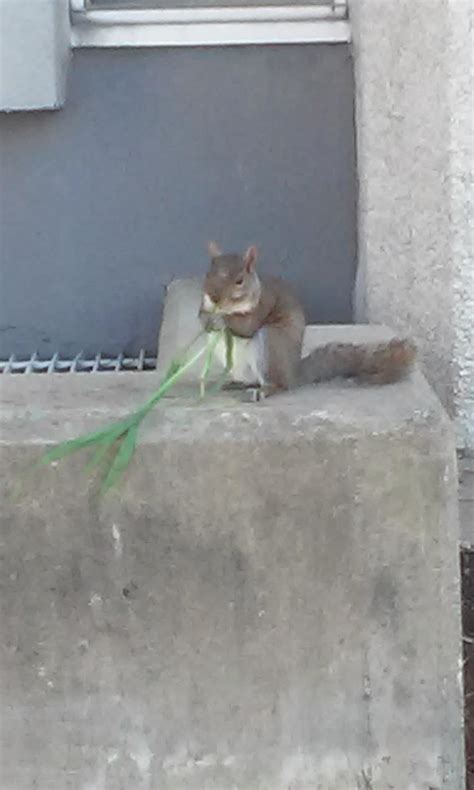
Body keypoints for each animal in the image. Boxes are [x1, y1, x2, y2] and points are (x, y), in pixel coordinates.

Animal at [199, 242, 416, 398]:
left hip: (271, 343)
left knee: (279, 384)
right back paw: (234, 383)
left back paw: (265, 390)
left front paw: (221, 320)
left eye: (239, 281)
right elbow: (202, 315)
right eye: (208, 273)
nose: (214, 297)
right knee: (250, 379)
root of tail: (293, 374)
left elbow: (246, 326)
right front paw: (205, 319)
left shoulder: (263, 304)